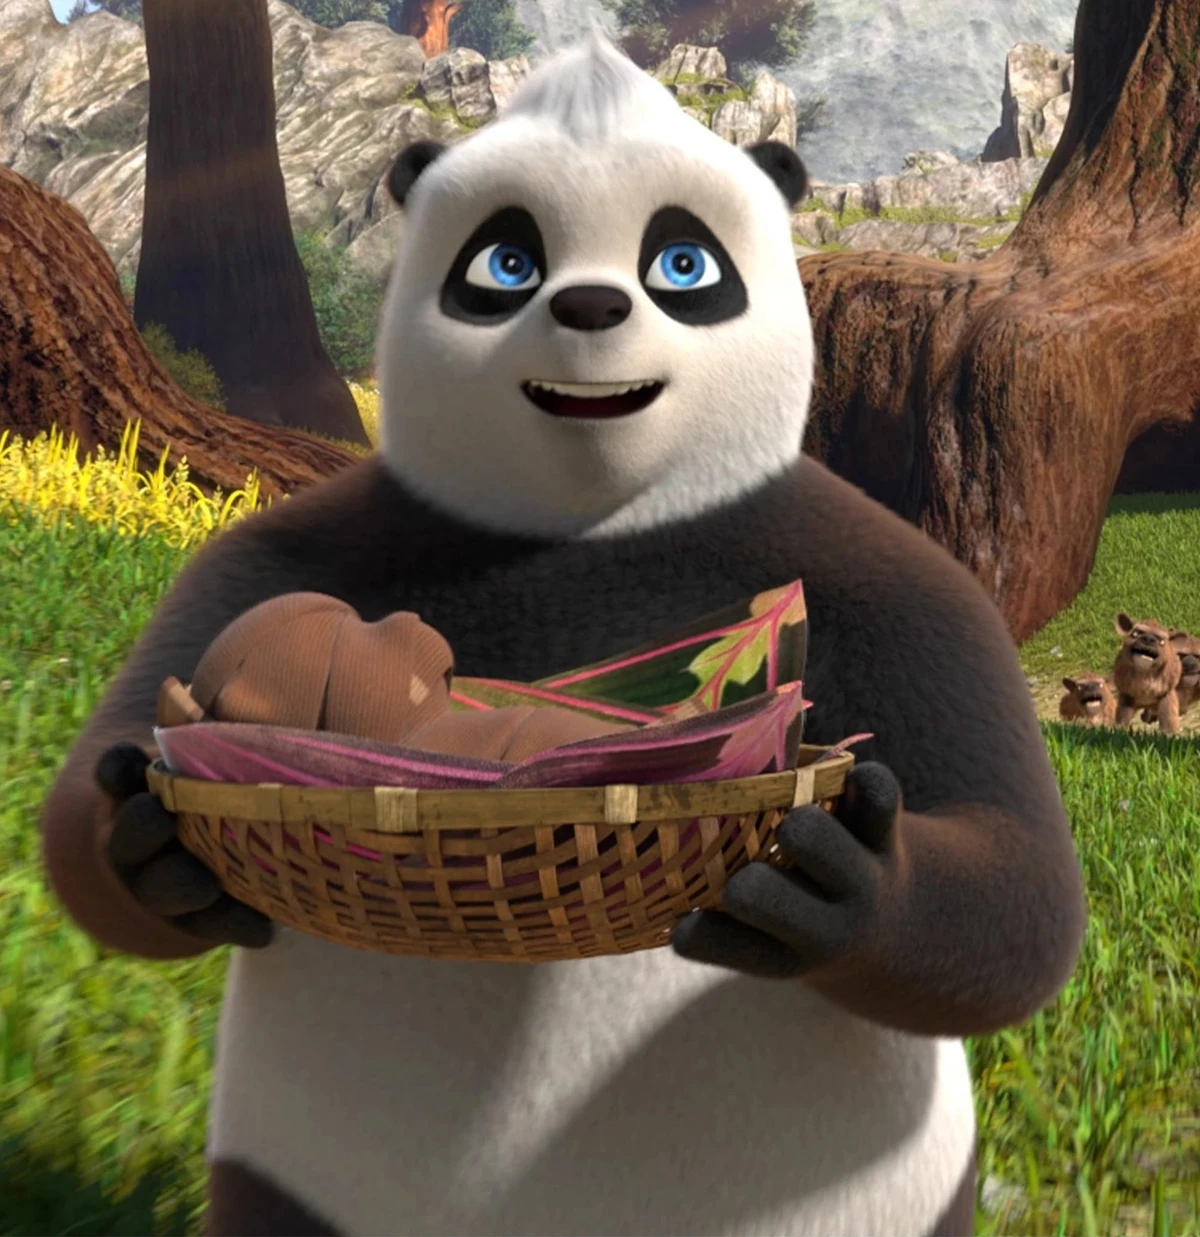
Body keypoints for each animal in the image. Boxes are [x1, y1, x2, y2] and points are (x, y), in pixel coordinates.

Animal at [41, 32, 1085, 1237]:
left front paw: (834, 872)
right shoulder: (297, 547)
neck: (595, 510)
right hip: (295, 1168)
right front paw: (148, 835)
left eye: (682, 264)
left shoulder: (885, 572)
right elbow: (96, 813)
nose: (588, 306)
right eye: (505, 265)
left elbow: (1017, 883)